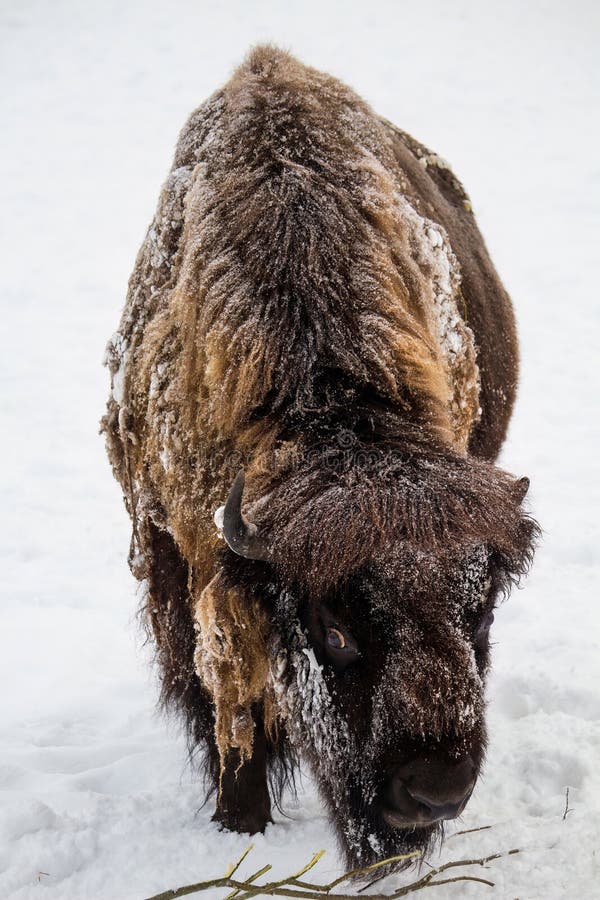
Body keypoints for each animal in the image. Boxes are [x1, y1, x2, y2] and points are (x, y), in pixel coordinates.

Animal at [102, 45, 538, 869]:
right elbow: (229, 705)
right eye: (334, 632)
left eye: (481, 611)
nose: (435, 793)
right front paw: (239, 824)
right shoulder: (190, 572)